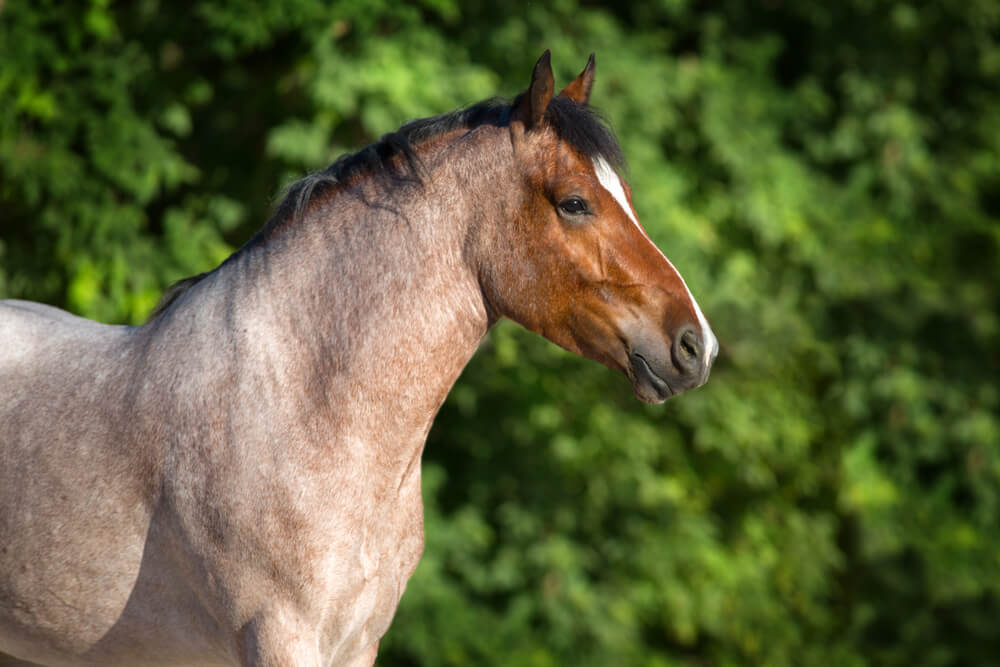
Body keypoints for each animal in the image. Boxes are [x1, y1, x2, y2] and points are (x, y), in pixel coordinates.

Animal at [0, 51, 717, 666]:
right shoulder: (281, 637)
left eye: (625, 195)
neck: (302, 408)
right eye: (573, 202)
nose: (696, 345)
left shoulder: (358, 643)